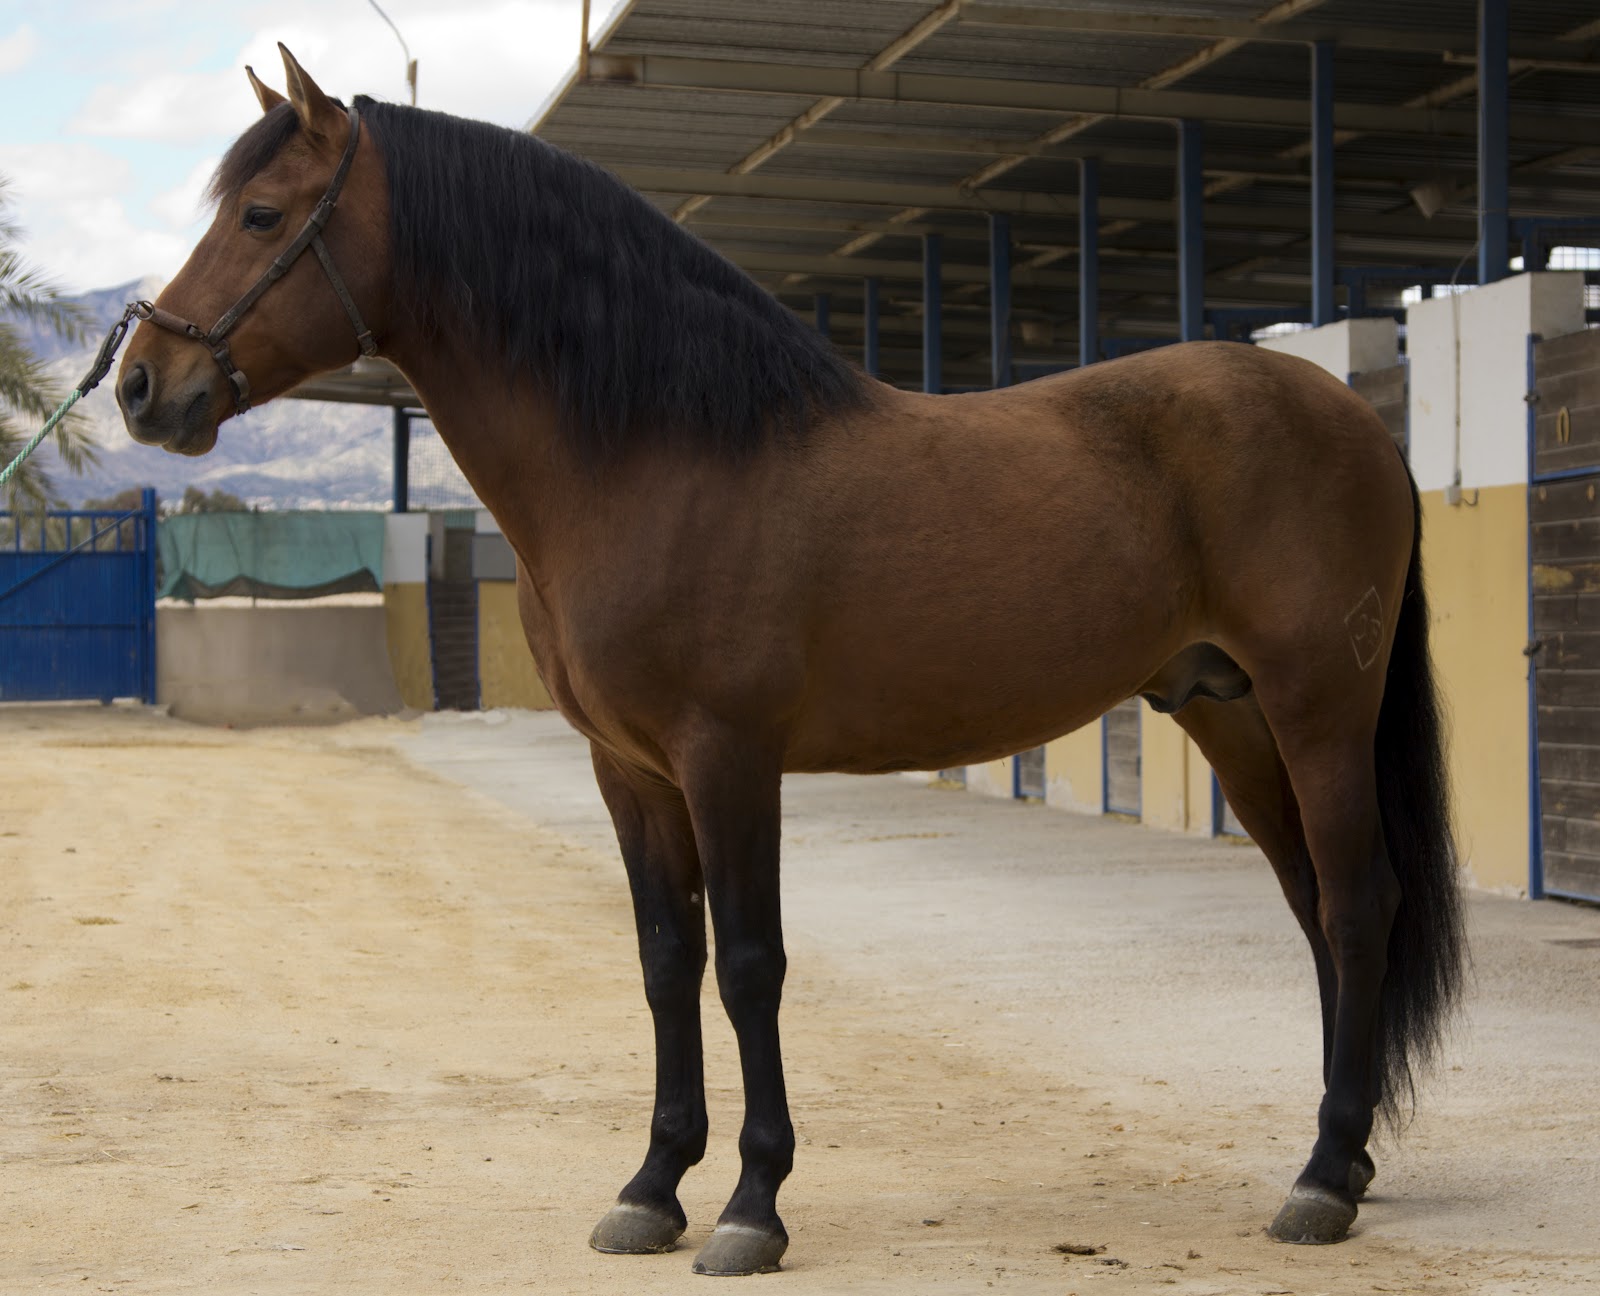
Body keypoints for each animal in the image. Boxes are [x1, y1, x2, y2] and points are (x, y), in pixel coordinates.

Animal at [116, 46, 1464, 1277]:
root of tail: (1351, 414)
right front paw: (651, 1188)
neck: (657, 457)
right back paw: (1342, 1158)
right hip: (1231, 716)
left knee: (1357, 904)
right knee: (1311, 907)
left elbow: (750, 966)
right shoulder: (632, 775)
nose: (140, 385)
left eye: (261, 214)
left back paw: (1320, 1180)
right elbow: (668, 966)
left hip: (1318, 709)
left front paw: (751, 1206)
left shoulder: (728, 758)